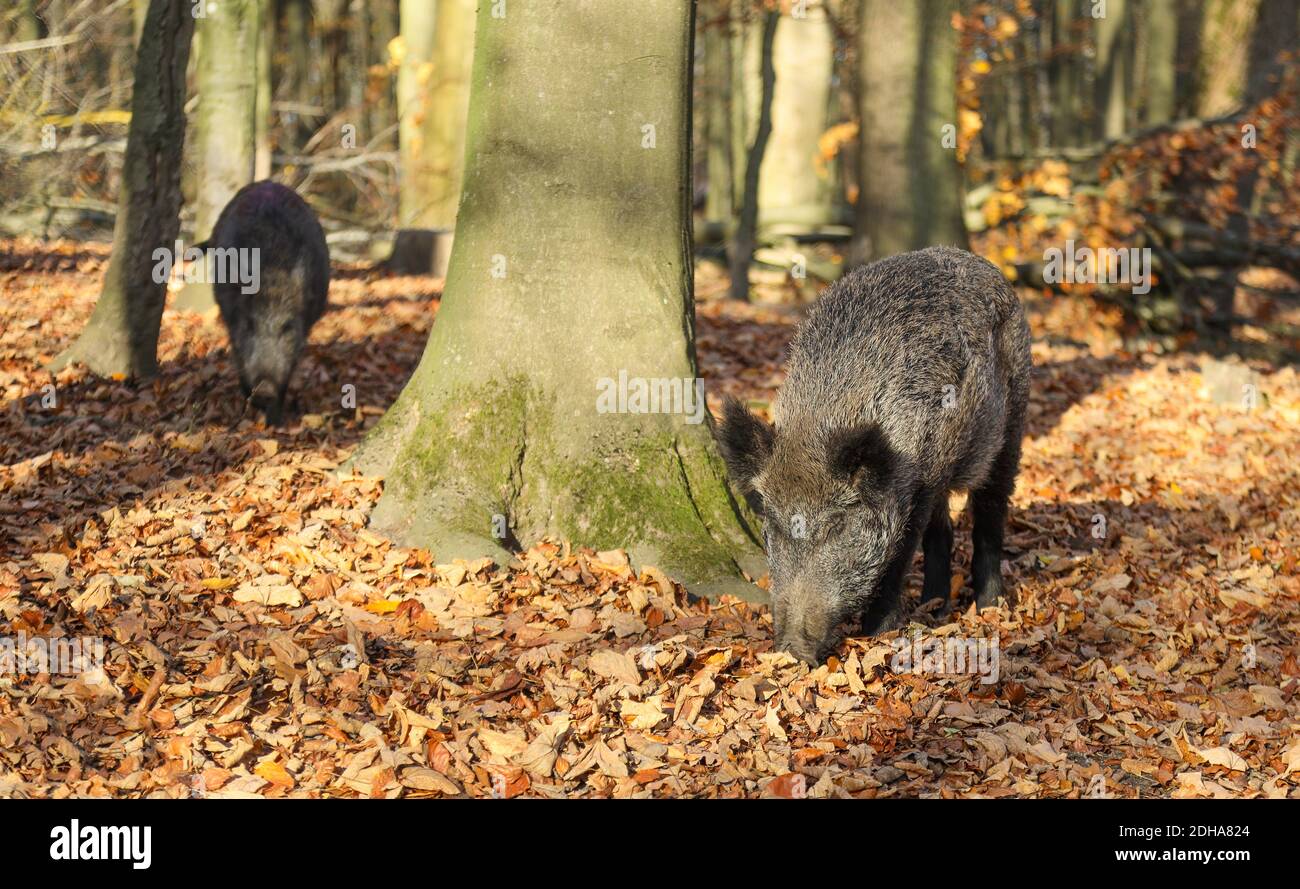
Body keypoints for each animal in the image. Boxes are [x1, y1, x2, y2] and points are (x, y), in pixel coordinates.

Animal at [206, 180, 329, 424]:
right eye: (250, 325)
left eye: (287, 327)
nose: (264, 388)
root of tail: (267, 182)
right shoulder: (233, 324)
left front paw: (275, 421)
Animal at [716, 246, 1031, 664]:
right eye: (773, 522)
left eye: (836, 525)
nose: (790, 651)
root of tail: (985, 266)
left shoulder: (919, 481)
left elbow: (899, 554)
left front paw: (878, 632)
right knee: (944, 531)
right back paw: (934, 608)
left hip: (1012, 421)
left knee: (991, 512)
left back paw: (990, 605)